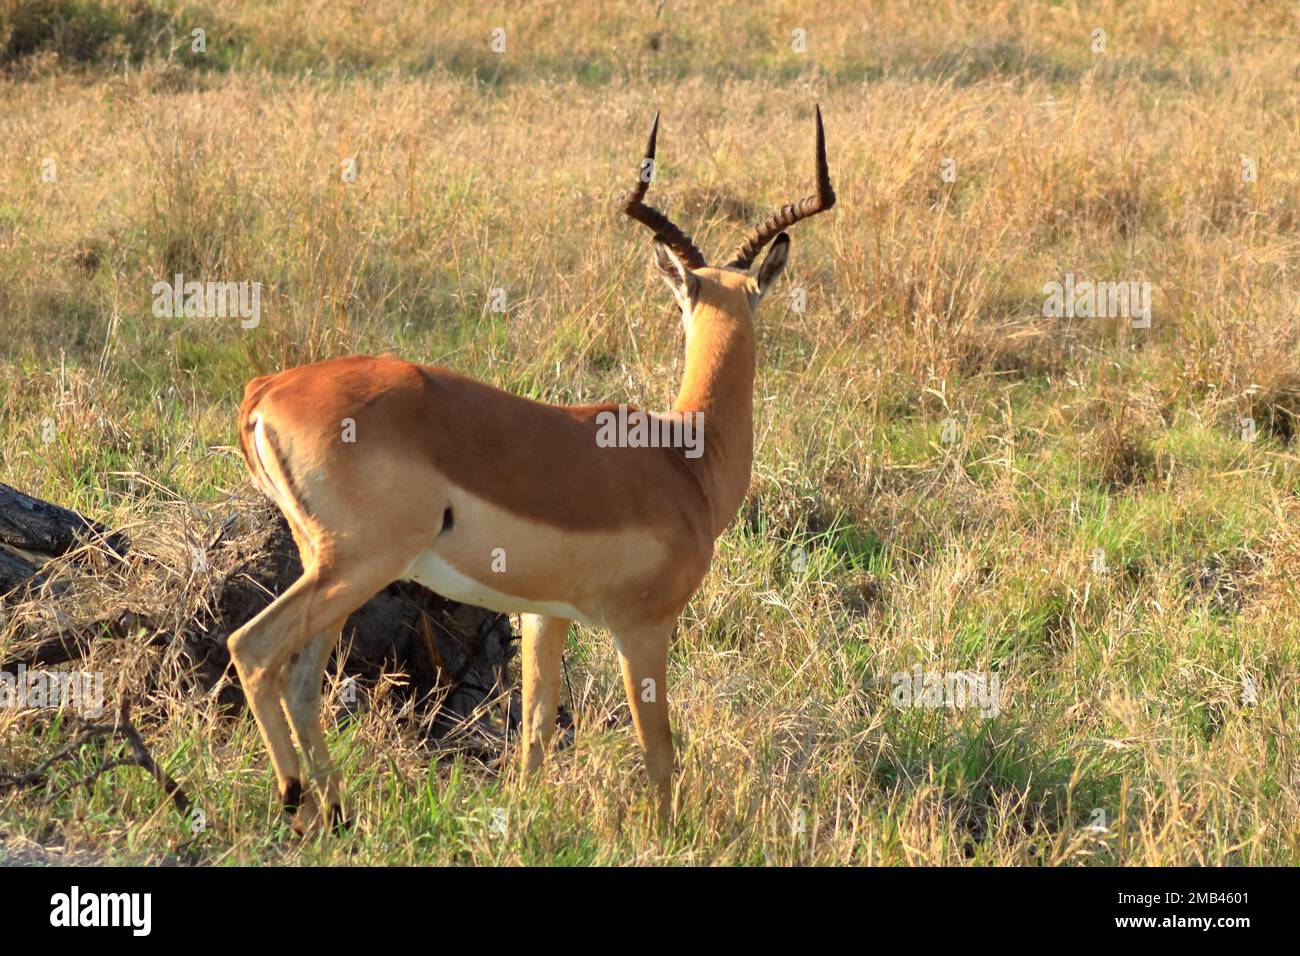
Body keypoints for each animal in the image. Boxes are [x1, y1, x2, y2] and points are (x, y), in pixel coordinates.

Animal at [227, 107, 836, 832]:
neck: (682, 455)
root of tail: (265, 390)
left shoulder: (545, 617)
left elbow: (537, 733)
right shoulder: (642, 626)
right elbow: (658, 749)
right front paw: (664, 835)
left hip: (329, 567)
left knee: (299, 679)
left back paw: (336, 812)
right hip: (357, 565)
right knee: (253, 650)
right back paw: (295, 799)